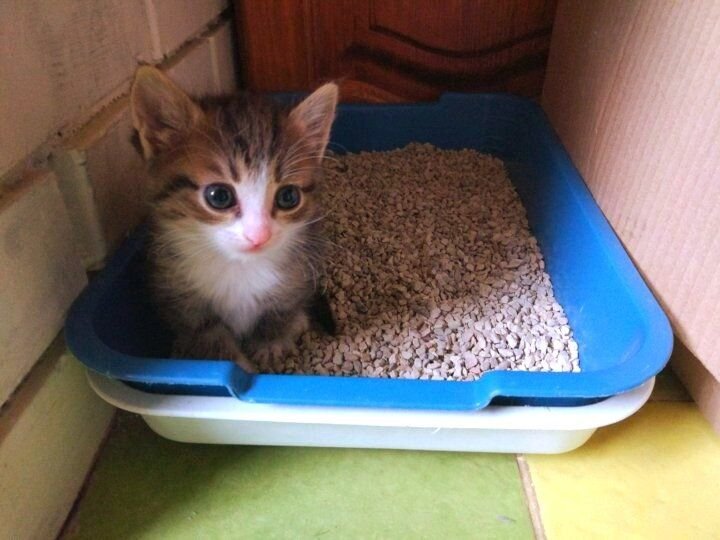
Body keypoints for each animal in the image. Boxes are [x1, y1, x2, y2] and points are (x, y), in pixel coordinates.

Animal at [130, 66, 338, 372]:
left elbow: (279, 311)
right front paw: (239, 365)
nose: (259, 235)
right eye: (219, 196)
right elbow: (209, 338)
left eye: (288, 196)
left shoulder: (296, 276)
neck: (238, 267)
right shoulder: (181, 296)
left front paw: (270, 345)